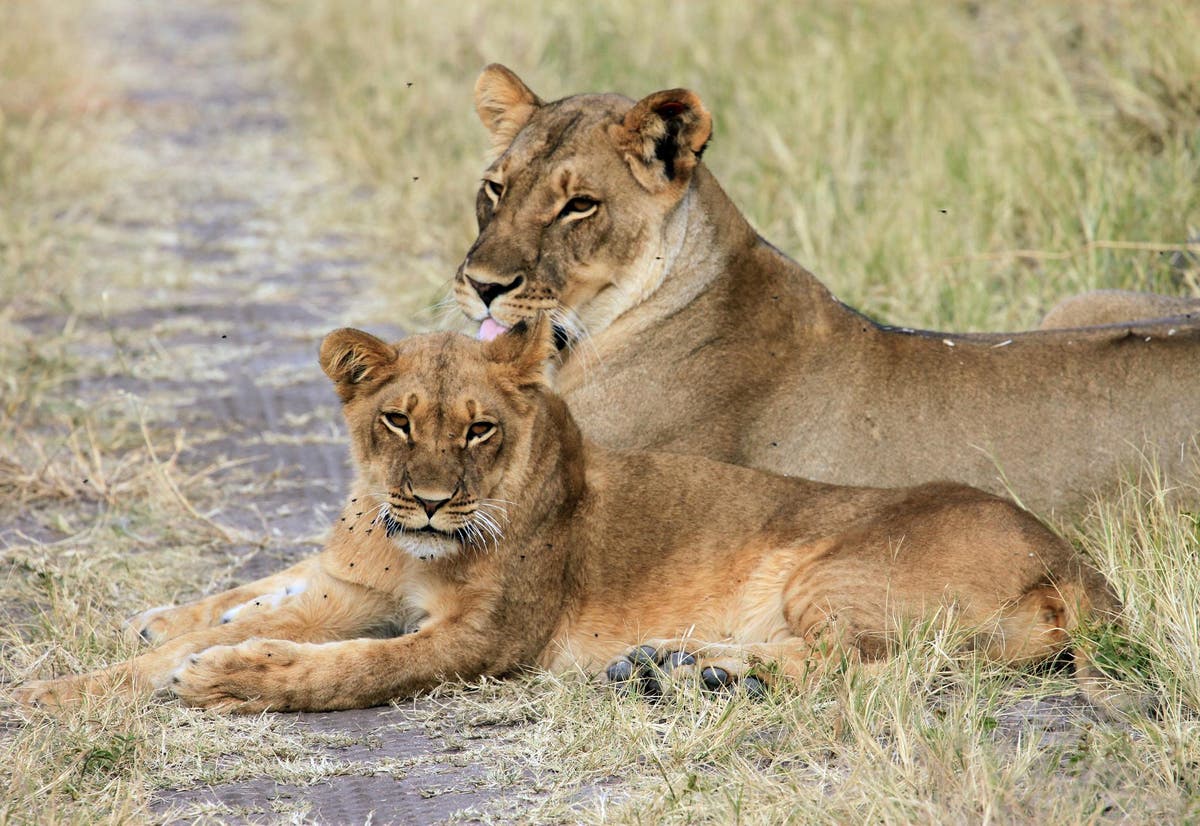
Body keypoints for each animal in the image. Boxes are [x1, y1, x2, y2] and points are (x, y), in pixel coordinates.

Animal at [16, 321, 1116, 713]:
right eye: (397, 419)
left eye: (479, 430)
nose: (427, 500)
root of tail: (1083, 571)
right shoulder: (344, 585)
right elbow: (226, 615)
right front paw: (59, 693)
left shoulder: (485, 638)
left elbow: (352, 667)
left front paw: (231, 676)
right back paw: (678, 668)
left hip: (833, 566)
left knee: (878, 667)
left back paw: (695, 672)